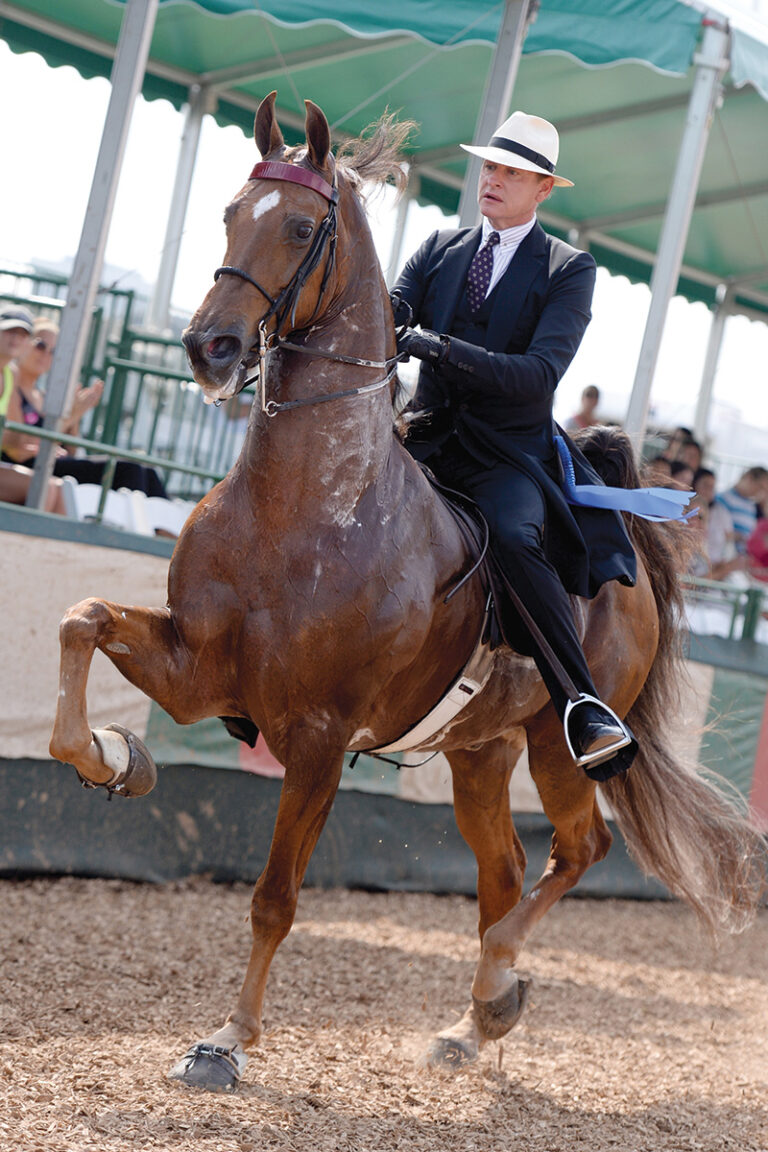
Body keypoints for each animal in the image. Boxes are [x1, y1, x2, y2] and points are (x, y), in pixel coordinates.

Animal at [50, 93, 766, 1092]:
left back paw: (499, 981)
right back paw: (474, 1022)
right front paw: (117, 755)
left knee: (577, 849)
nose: (209, 347)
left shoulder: (315, 735)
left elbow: (275, 897)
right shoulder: (201, 671)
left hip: (557, 740)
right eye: (229, 213)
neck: (304, 502)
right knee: (504, 871)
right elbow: (81, 623)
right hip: (479, 752)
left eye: (302, 227)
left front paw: (227, 1041)